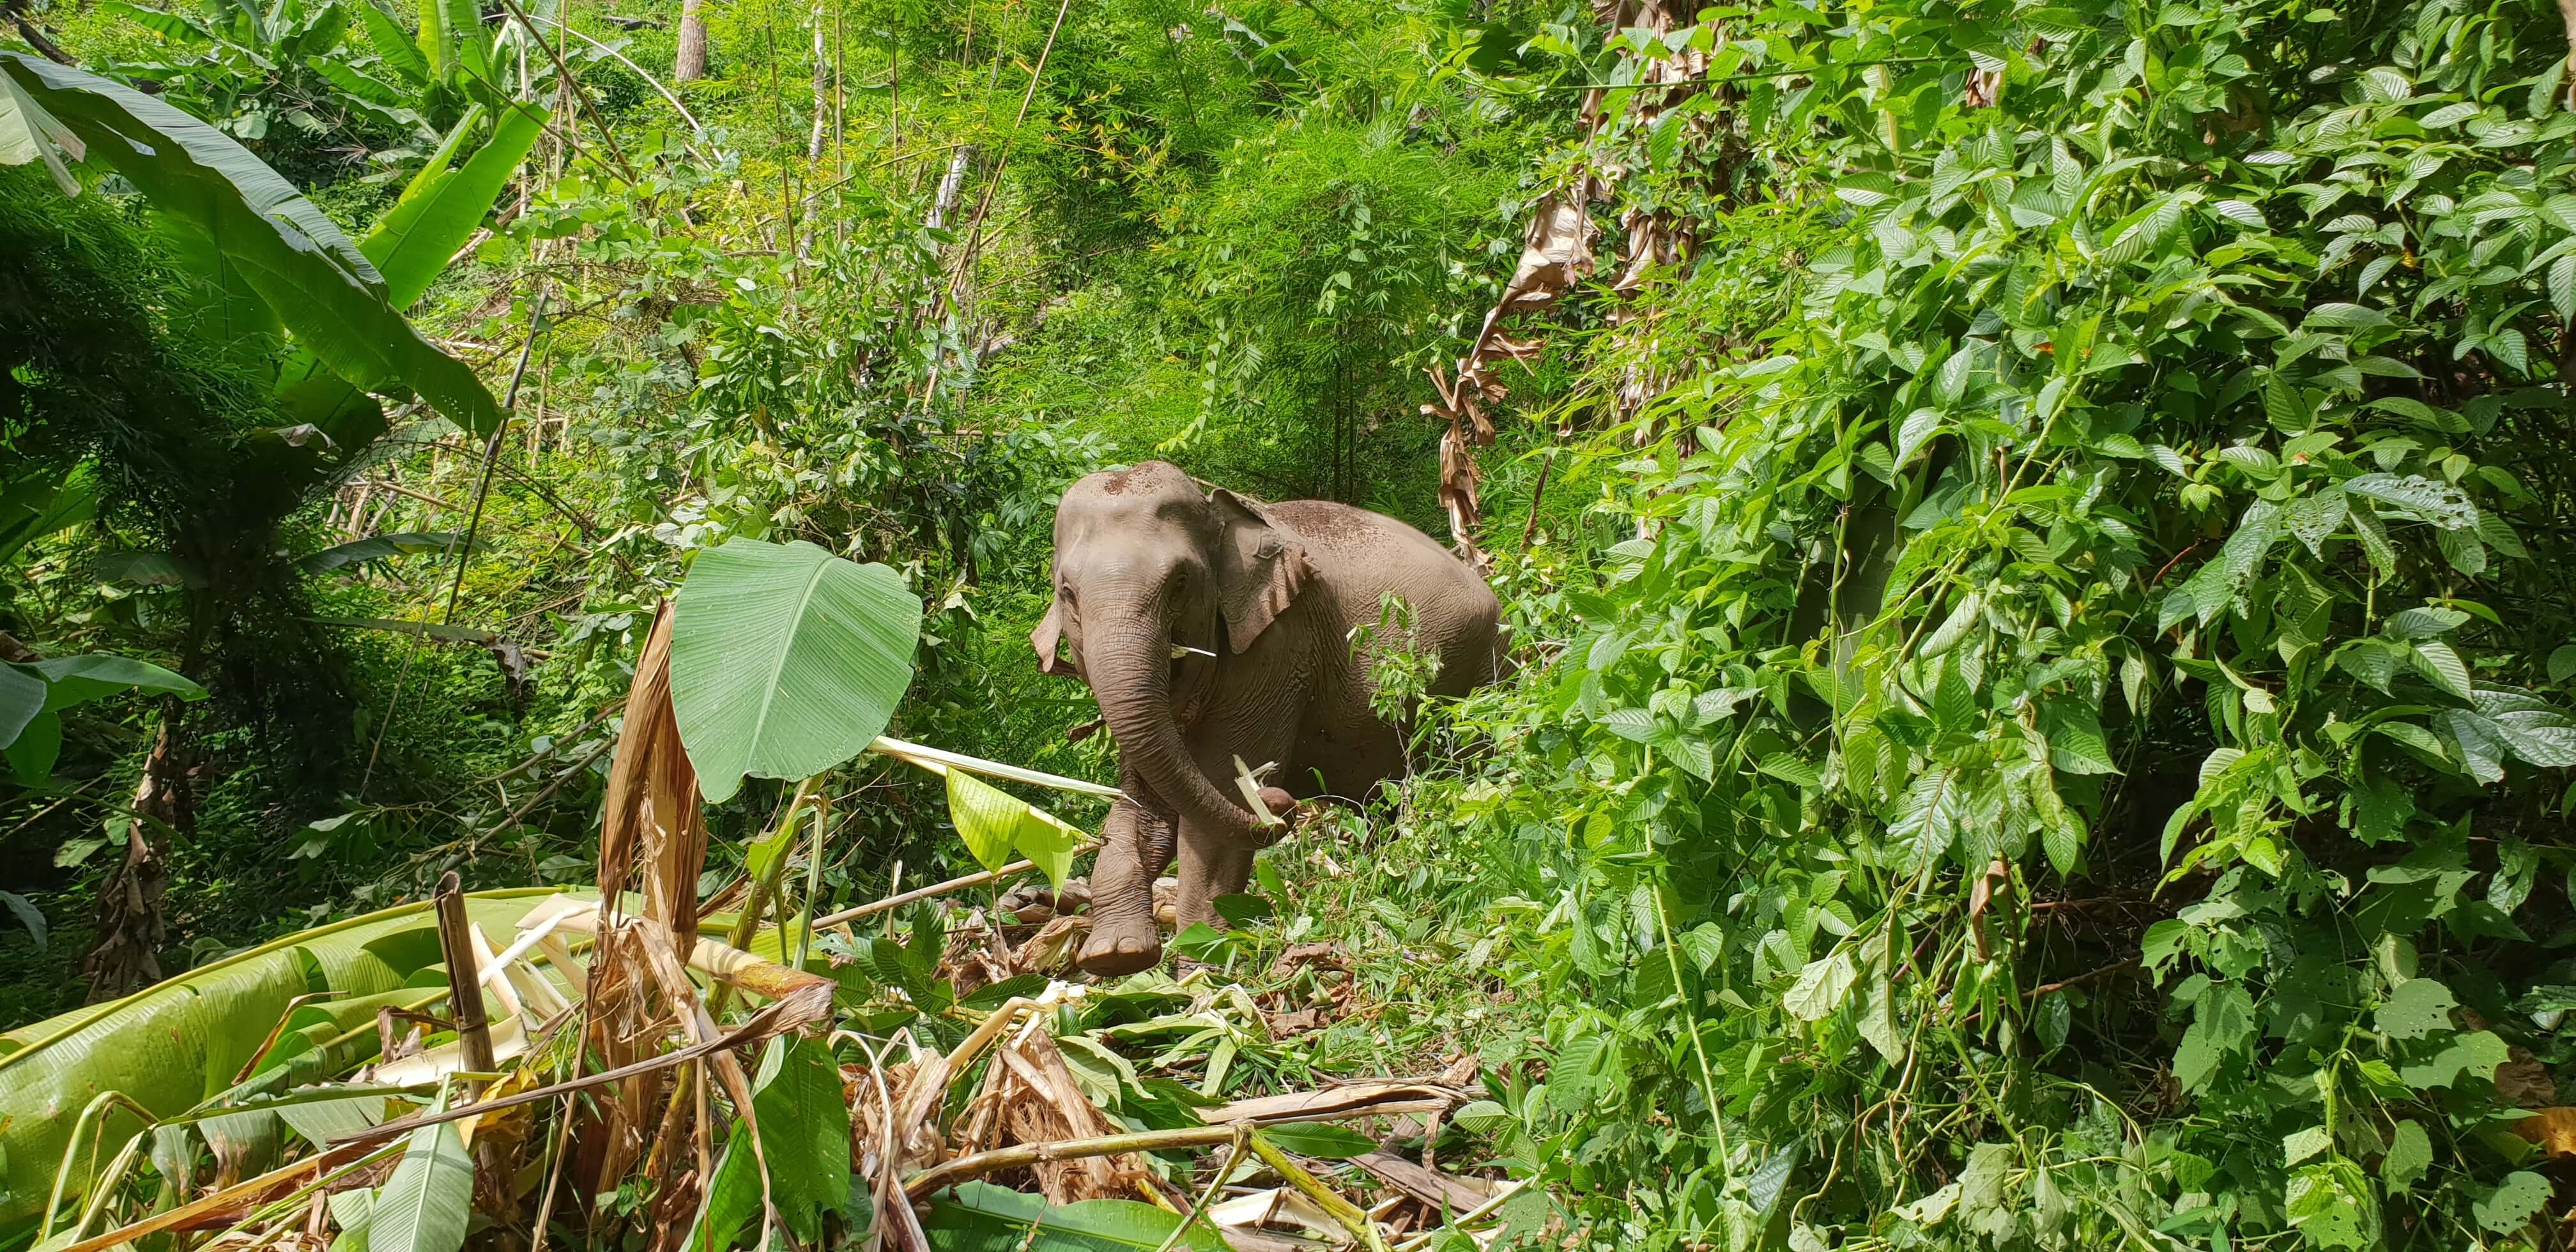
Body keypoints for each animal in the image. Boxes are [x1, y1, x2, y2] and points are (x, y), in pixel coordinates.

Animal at [1031, 461, 1507, 975]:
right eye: (1067, 592)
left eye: (1180, 583)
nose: (1281, 802)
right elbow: (1142, 803)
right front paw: (1117, 955)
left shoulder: (1276, 648)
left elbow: (1218, 800)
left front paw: (1202, 977)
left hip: (1483, 679)